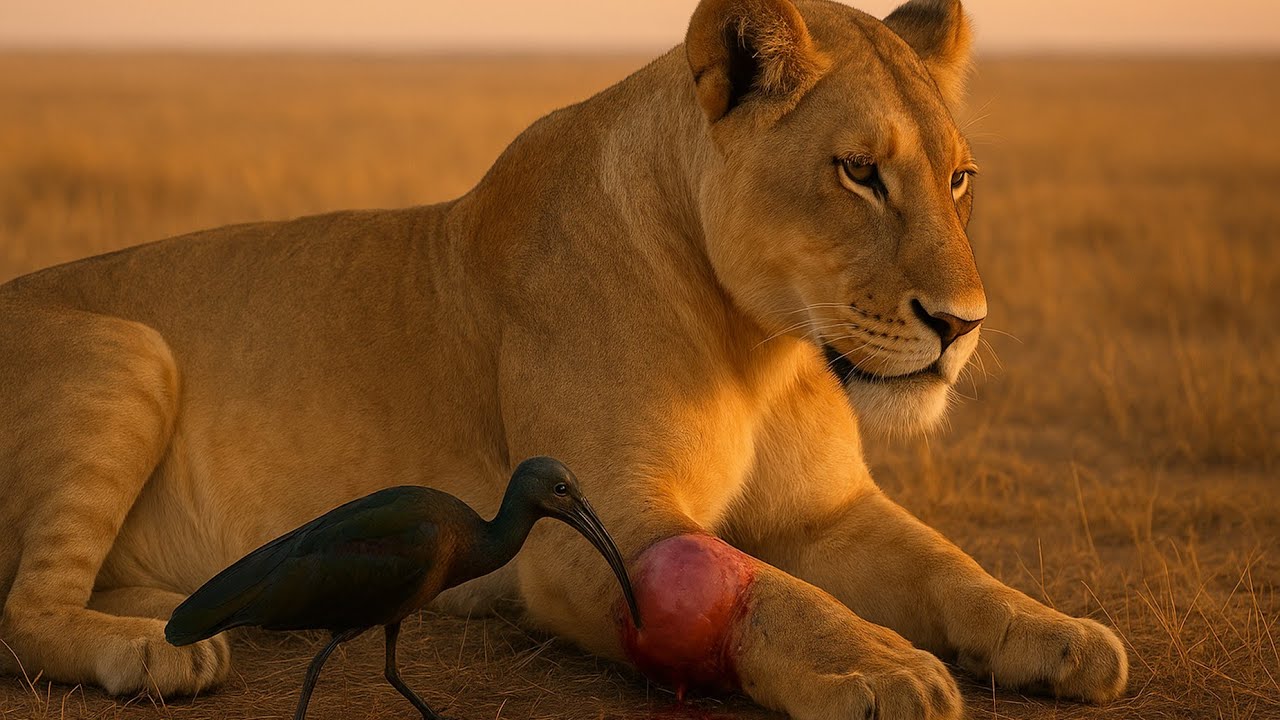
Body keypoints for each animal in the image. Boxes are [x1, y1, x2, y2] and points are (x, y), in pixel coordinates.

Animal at [0, 1, 1128, 717]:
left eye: (959, 178)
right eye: (858, 173)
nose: (963, 325)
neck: (761, 346)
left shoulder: (825, 510)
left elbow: (951, 568)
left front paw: (1058, 634)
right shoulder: (588, 526)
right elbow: (777, 596)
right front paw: (882, 669)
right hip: (129, 352)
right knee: (21, 612)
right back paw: (153, 652)